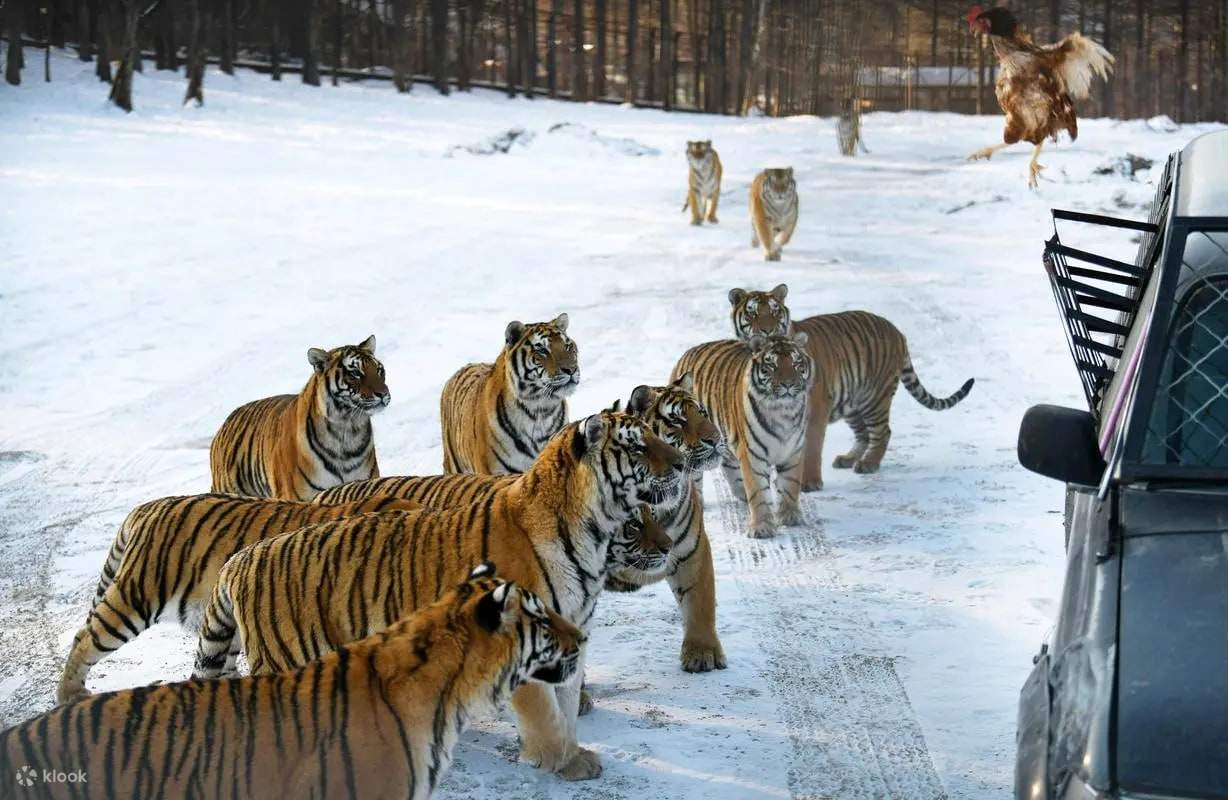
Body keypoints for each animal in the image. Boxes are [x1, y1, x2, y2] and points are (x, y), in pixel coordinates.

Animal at [194, 408, 684, 781]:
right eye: (638, 446)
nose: (681, 462)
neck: (592, 535)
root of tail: (241, 558)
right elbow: (546, 712)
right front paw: (561, 763)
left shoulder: (570, 631)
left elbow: (564, 701)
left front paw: (575, 754)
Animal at [673, 332, 814, 538]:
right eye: (772, 365)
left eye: (796, 363)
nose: (788, 384)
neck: (783, 411)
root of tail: (687, 353)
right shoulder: (752, 454)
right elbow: (758, 491)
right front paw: (762, 528)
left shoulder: (793, 451)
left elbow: (790, 485)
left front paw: (790, 517)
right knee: (694, 477)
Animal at [728, 284, 975, 489]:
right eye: (752, 313)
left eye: (775, 312)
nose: (767, 331)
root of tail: (898, 331)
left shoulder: (816, 408)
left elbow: (812, 448)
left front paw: (810, 483)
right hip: (853, 402)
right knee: (863, 433)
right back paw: (849, 459)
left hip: (875, 398)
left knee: (883, 431)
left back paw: (869, 463)